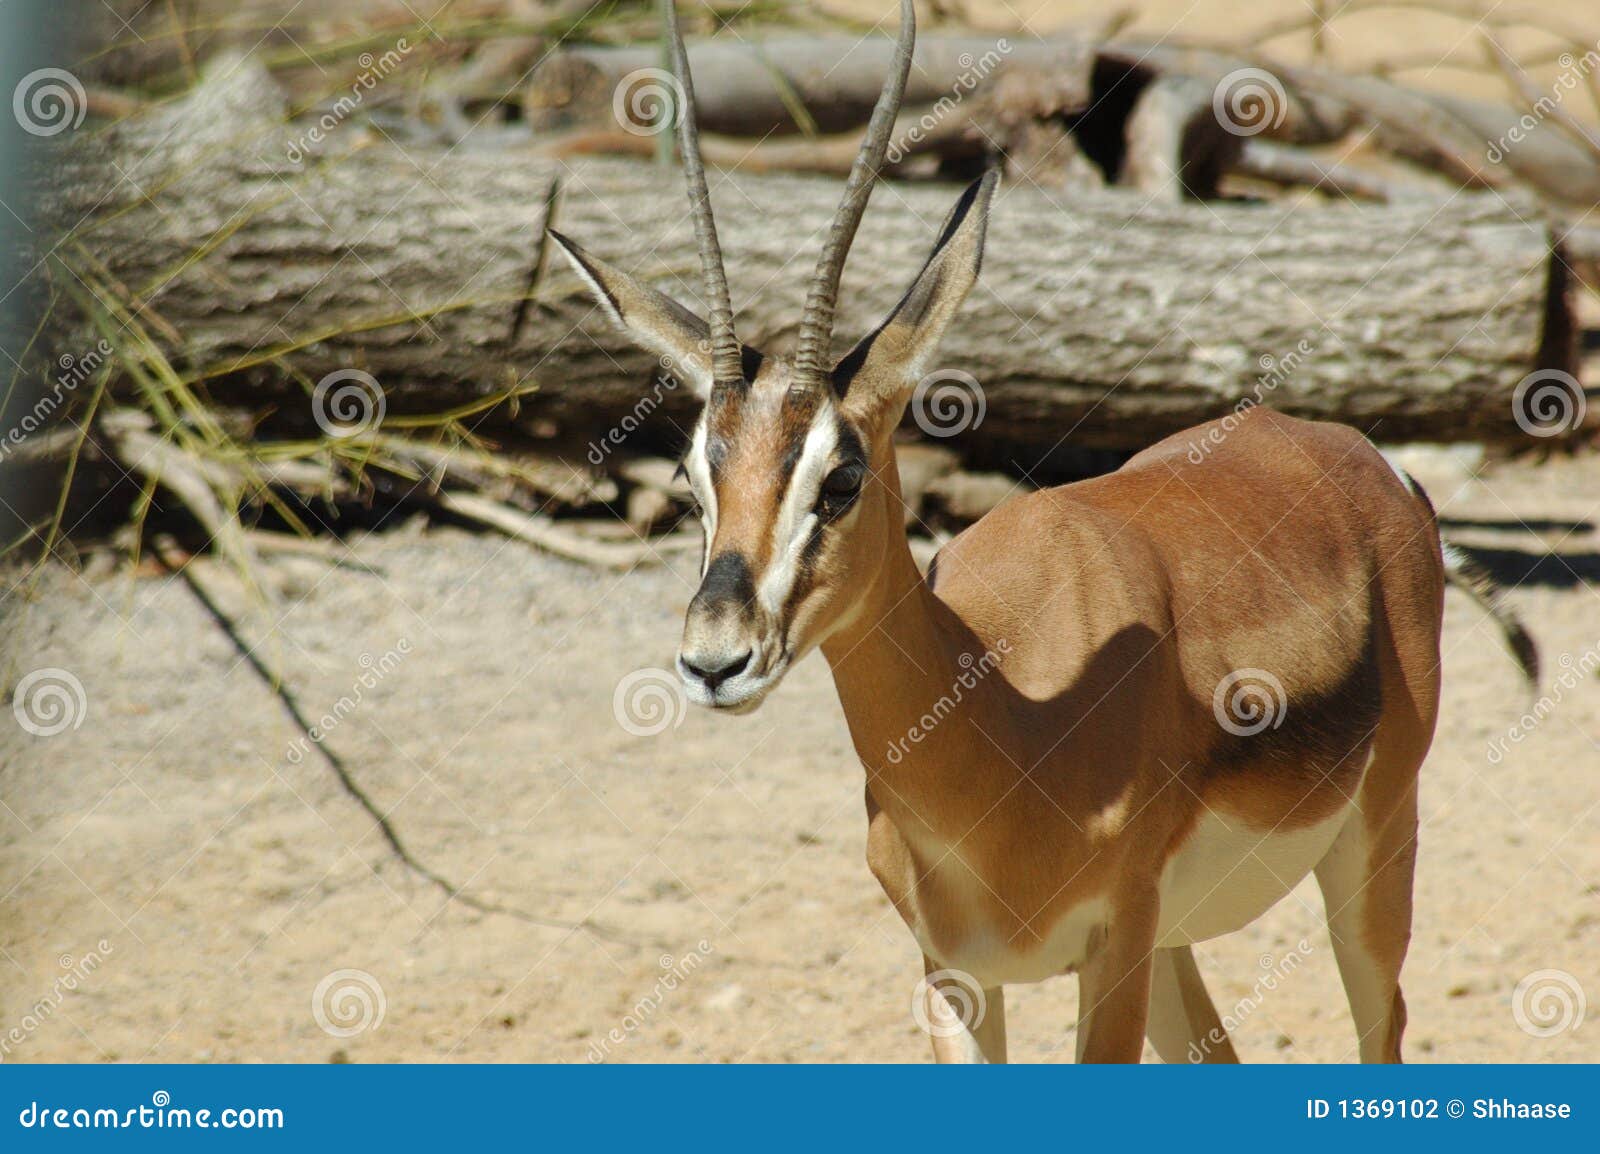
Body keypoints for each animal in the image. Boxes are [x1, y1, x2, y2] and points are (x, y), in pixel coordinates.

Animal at [550, 0, 1537, 1063]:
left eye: (840, 479)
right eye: (695, 479)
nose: (714, 661)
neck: (1000, 720)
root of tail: (1369, 462)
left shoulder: (1113, 949)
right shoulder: (955, 974)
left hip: (1369, 857)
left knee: (1383, 1023)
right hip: (1180, 943)